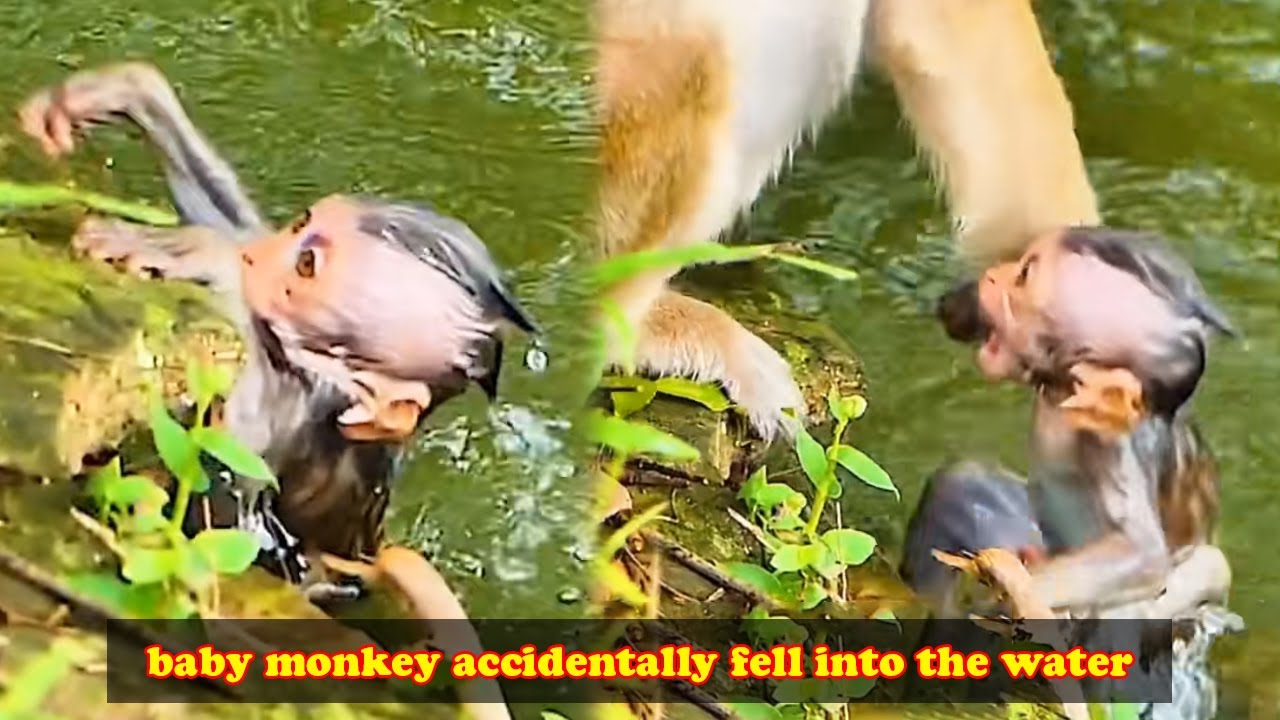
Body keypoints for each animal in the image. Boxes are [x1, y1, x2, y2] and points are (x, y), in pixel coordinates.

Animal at [902, 226, 1235, 621]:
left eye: (1024, 274)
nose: (992, 275)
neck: (1061, 390)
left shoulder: (1109, 440)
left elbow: (1142, 554)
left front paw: (1008, 593)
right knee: (962, 482)